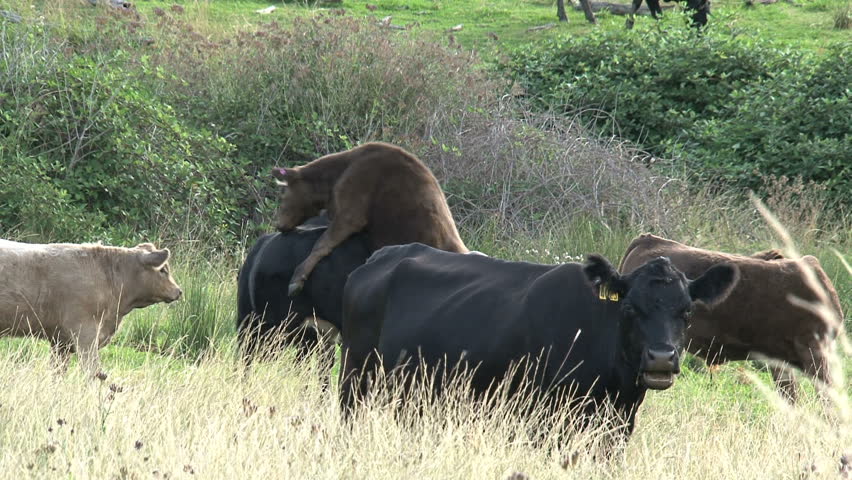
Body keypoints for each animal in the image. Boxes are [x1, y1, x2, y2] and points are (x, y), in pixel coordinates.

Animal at [0, 240, 182, 375]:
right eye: (163, 270)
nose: (179, 291)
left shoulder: (61, 341)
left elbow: (58, 372)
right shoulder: (85, 334)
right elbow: (92, 372)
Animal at [339, 242, 738, 444]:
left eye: (687, 312)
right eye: (629, 309)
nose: (660, 358)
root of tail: (384, 254)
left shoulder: (617, 427)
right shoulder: (542, 419)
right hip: (355, 377)